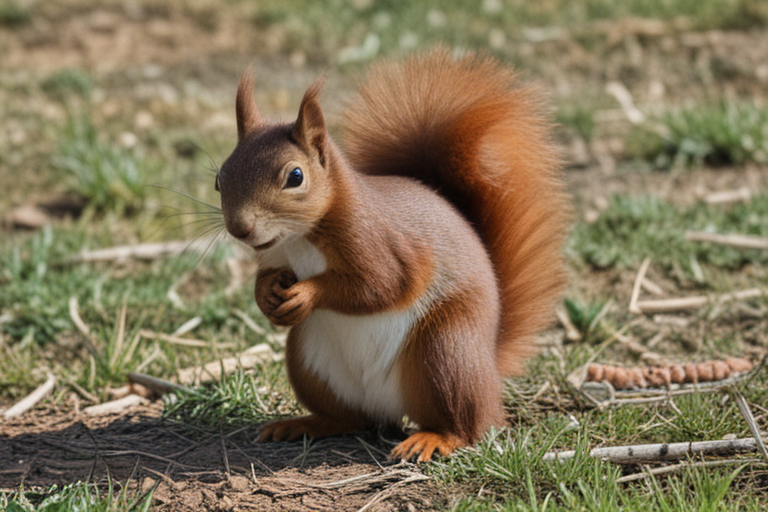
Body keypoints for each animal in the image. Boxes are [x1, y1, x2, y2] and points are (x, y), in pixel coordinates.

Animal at [216, 47, 569, 461]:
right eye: (220, 178)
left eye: (296, 177)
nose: (240, 228)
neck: (300, 238)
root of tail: (489, 365)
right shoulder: (274, 257)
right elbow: (265, 281)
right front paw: (268, 297)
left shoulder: (383, 245)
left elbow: (382, 287)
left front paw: (306, 293)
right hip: (309, 364)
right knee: (353, 418)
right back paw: (305, 424)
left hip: (444, 352)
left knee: (469, 426)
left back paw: (435, 439)